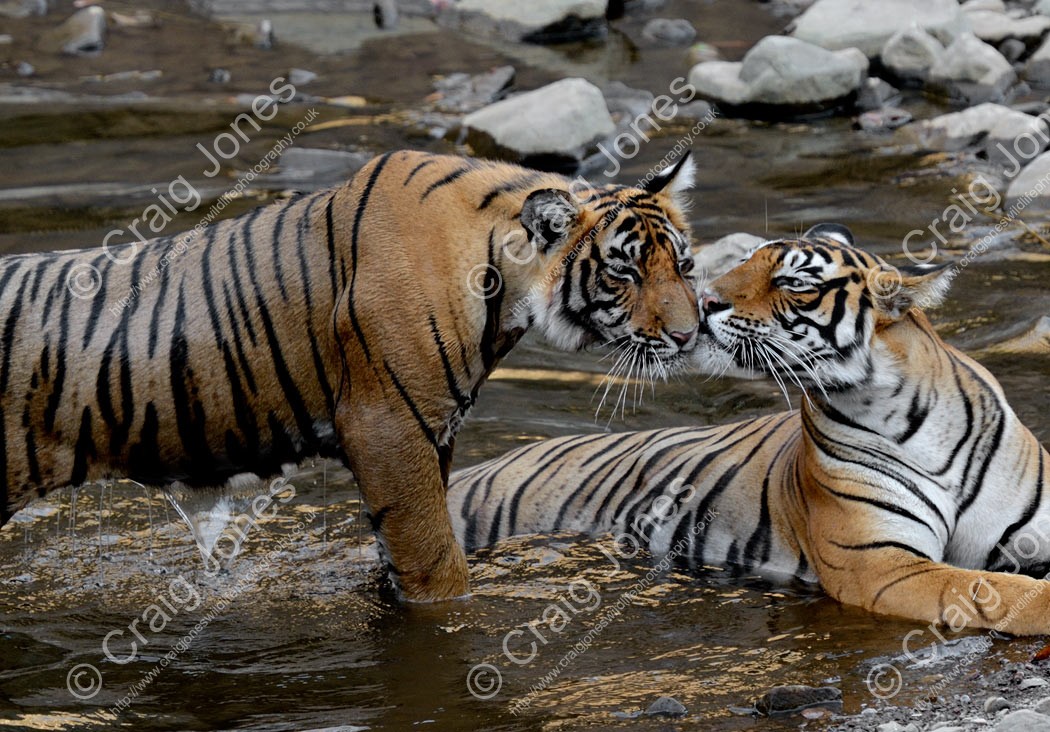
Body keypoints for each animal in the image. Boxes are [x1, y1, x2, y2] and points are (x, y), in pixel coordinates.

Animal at [0, 149, 702, 603]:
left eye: (684, 265)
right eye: (624, 271)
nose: (690, 334)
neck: (502, 282)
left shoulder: (432, 433)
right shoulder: (385, 427)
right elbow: (435, 564)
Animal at [448, 225, 1050, 634]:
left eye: (792, 280)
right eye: (742, 262)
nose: (703, 300)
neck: (908, 418)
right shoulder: (881, 563)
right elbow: (988, 587)